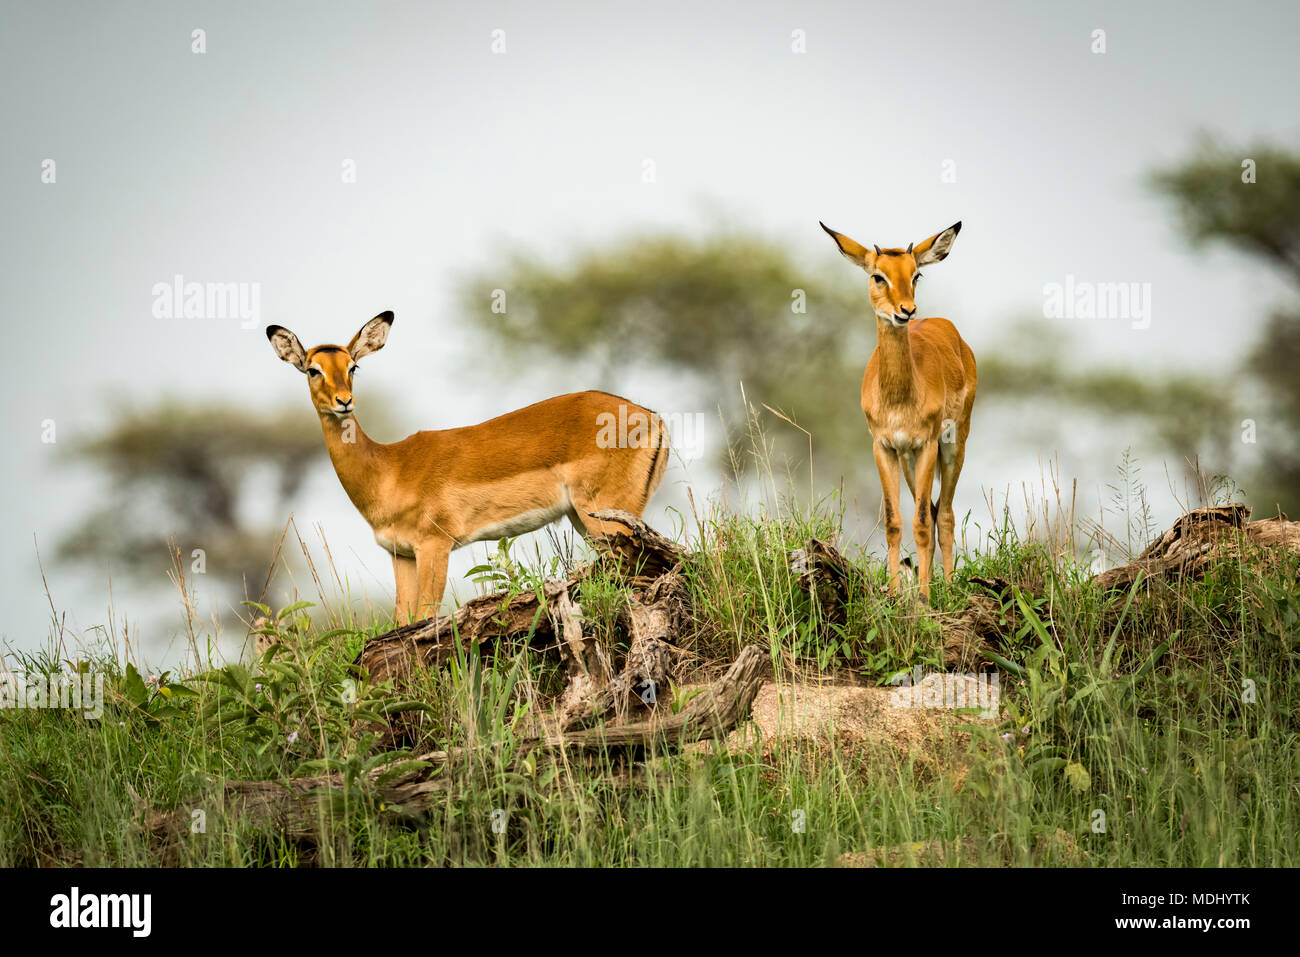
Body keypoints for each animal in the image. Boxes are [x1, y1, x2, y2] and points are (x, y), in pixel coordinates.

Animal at [266, 311, 669, 623]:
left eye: (354, 365)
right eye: (312, 369)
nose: (344, 401)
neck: (389, 468)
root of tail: (654, 417)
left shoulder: (434, 546)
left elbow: (426, 617)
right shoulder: (401, 554)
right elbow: (403, 622)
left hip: (605, 516)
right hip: (588, 520)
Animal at [820, 221, 976, 599]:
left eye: (916, 274)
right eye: (878, 276)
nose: (906, 310)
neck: (899, 397)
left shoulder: (928, 445)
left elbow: (920, 522)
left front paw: (924, 596)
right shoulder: (885, 447)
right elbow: (894, 521)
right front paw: (893, 593)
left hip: (953, 445)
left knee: (944, 514)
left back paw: (946, 586)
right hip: (909, 461)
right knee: (933, 511)